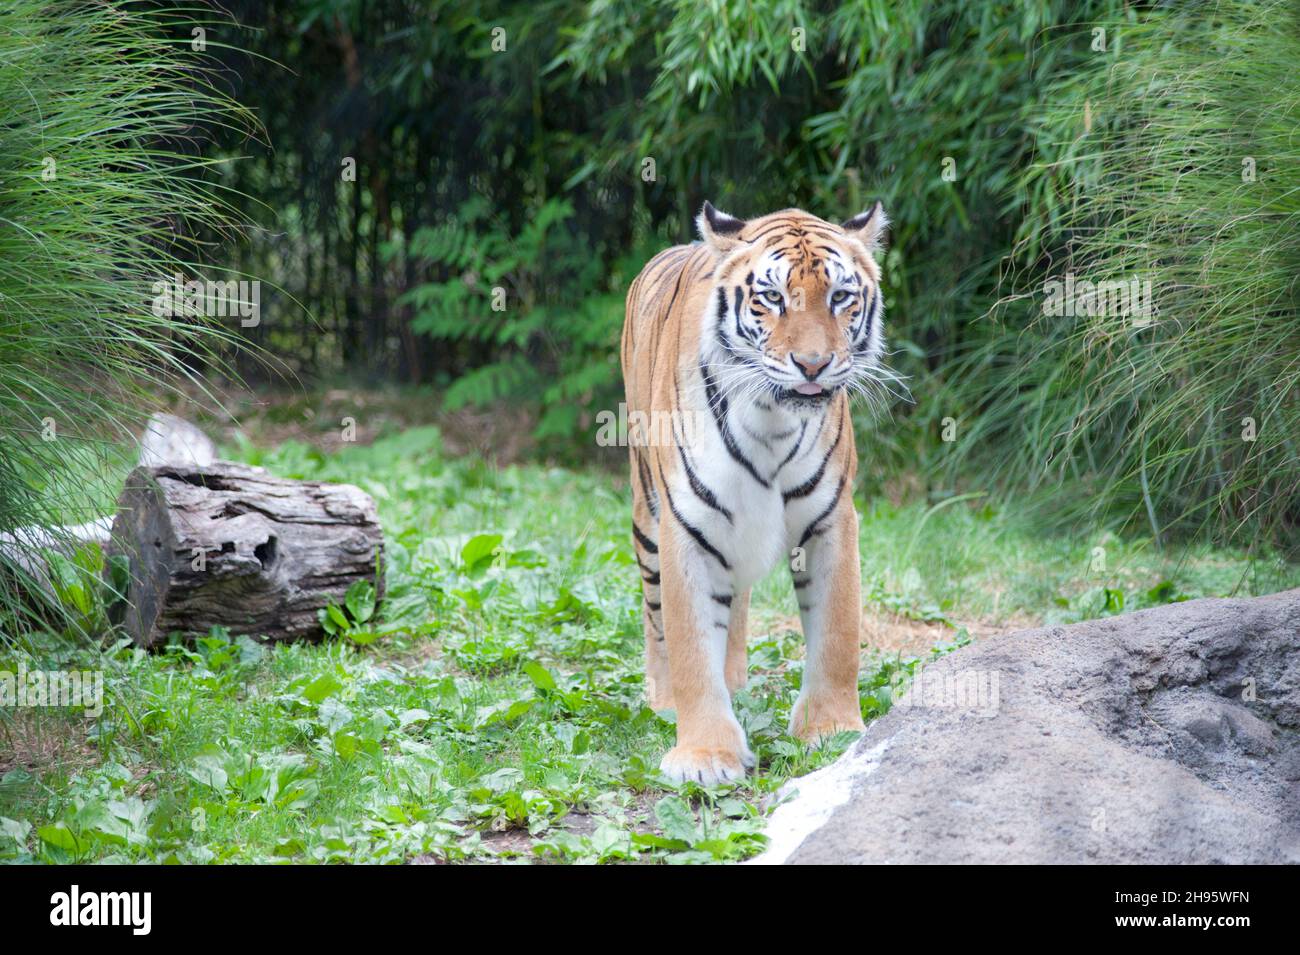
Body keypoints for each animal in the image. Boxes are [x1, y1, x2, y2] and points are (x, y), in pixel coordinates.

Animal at [620, 201, 890, 785]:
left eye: (841, 297)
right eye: (772, 297)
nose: (813, 365)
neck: (772, 418)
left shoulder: (831, 520)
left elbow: (837, 634)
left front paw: (832, 731)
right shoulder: (686, 527)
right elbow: (689, 644)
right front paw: (704, 755)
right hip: (647, 518)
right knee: (656, 618)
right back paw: (663, 700)